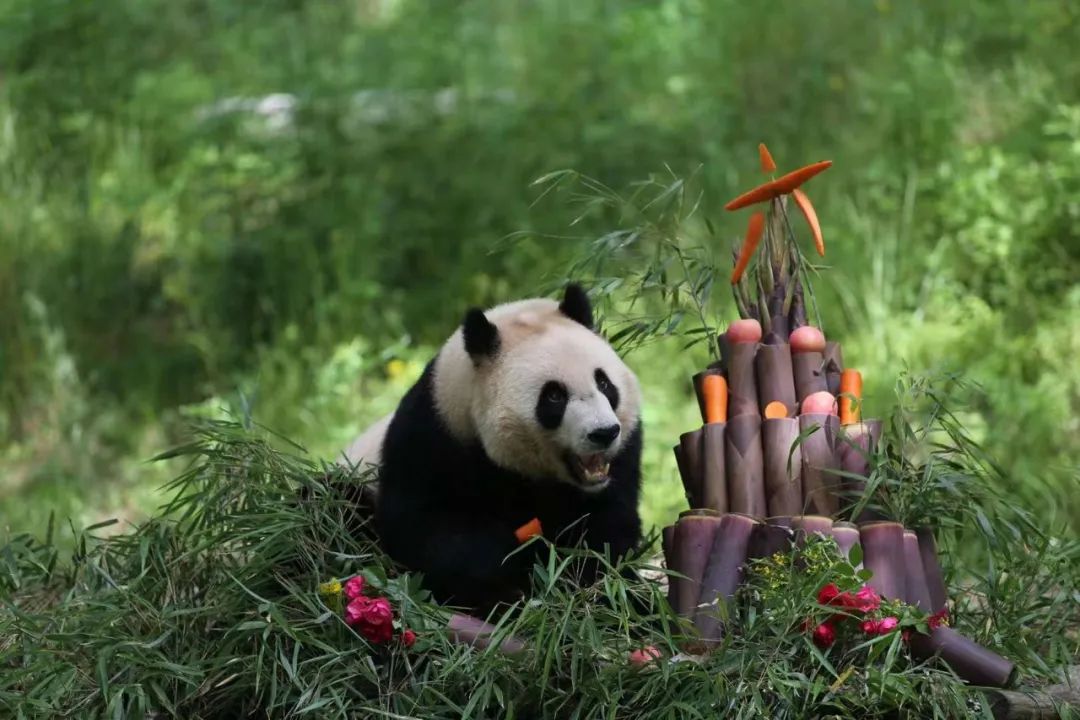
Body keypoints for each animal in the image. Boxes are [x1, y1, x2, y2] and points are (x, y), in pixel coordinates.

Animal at [340, 284, 644, 613]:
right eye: (554, 396)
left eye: (604, 383)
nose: (604, 433)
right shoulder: (430, 443)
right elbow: (427, 530)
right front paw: (508, 587)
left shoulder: (621, 460)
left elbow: (607, 532)